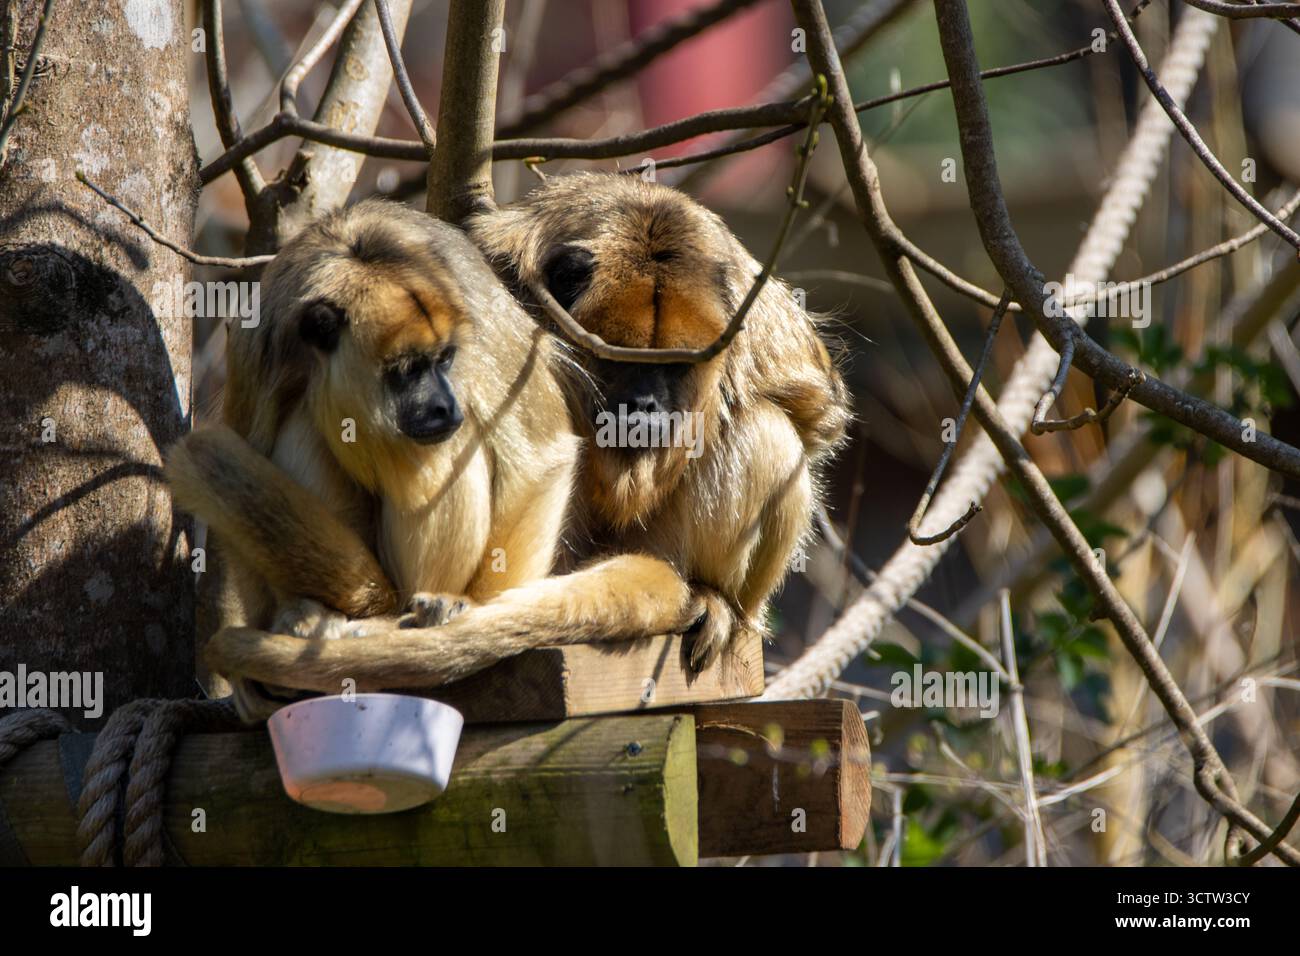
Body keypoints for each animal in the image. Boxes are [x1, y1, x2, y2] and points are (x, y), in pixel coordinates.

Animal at [466, 172, 851, 670]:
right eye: (620, 359)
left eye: (675, 365)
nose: (646, 404)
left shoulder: (749, 298)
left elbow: (816, 409)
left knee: (769, 430)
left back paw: (712, 596)